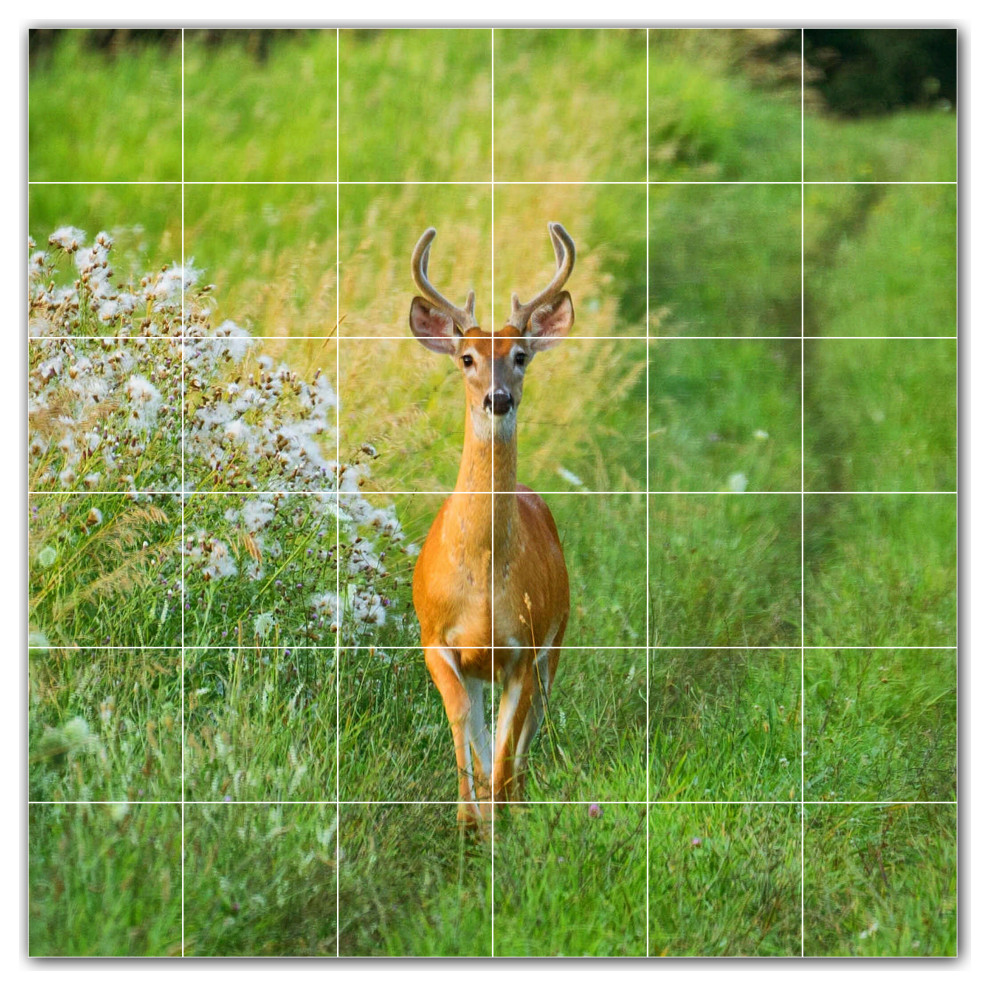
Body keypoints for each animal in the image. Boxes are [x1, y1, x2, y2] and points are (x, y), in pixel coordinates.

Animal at [408, 222, 575, 828]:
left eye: (520, 355)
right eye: (466, 358)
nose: (497, 398)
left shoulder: (525, 644)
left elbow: (505, 749)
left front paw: (501, 820)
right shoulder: (436, 639)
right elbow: (467, 732)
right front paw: (468, 822)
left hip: (557, 639)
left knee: (529, 732)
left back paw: (518, 804)